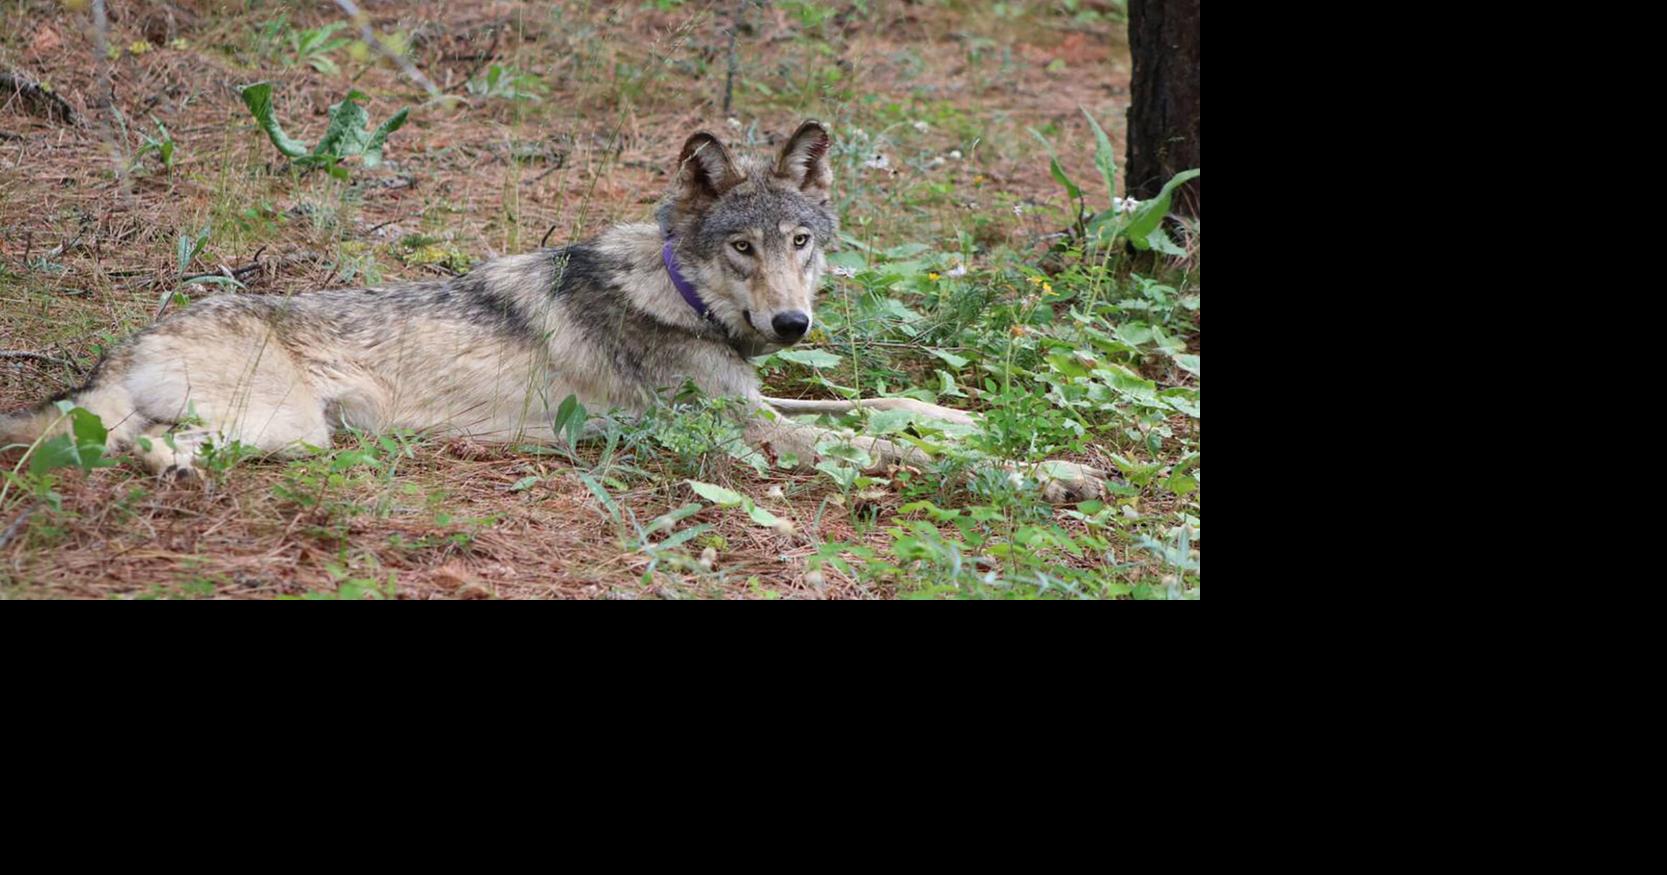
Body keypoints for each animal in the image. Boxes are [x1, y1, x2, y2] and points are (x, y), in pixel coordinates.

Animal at [2, 121, 1104, 502]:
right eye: (739, 247)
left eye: (800, 241)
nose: (791, 327)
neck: (676, 293)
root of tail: (133, 337)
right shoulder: (750, 438)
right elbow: (890, 449)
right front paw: (1048, 471)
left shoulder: (759, 407)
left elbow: (890, 409)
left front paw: (976, 420)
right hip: (287, 429)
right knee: (119, 444)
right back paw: (172, 471)